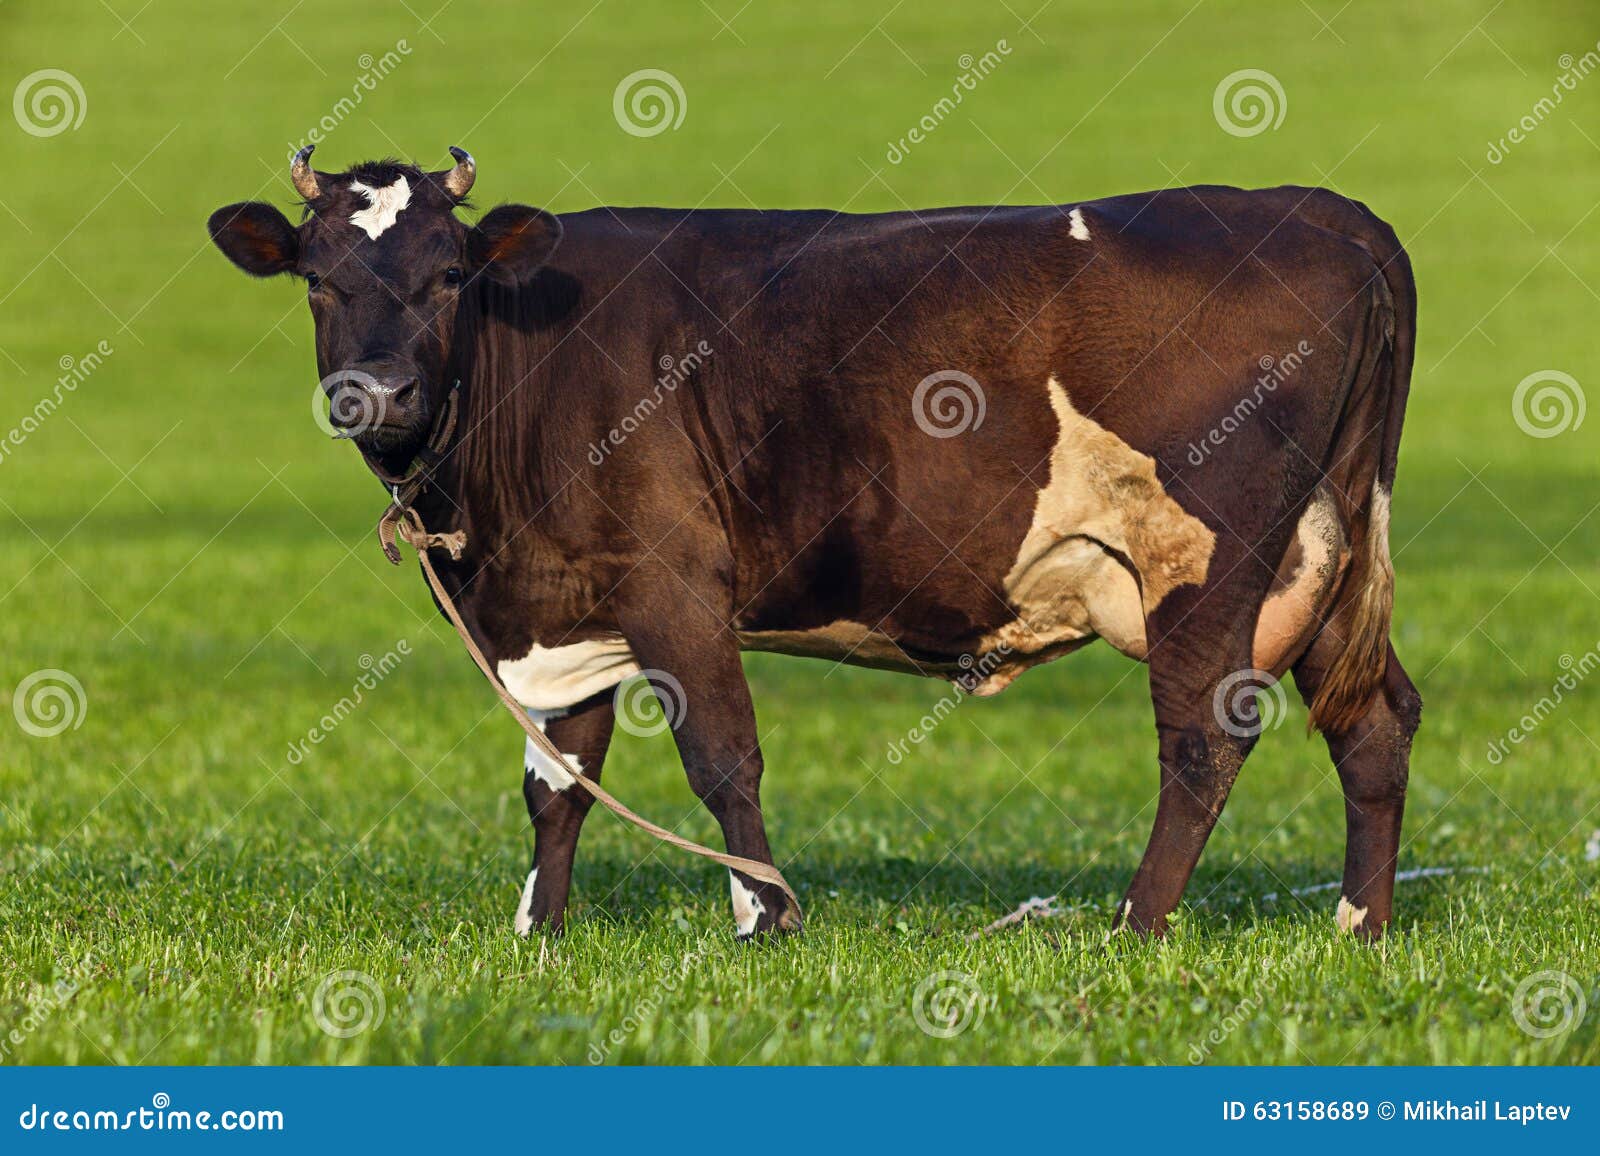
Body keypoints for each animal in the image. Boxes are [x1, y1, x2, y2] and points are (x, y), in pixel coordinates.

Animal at [208, 145, 1420, 942]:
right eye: (317, 278)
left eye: (450, 275)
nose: (376, 393)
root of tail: (1319, 209)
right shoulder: (557, 609)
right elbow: (560, 782)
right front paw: (538, 933)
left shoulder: (675, 582)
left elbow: (721, 757)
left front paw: (767, 918)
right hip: (1323, 557)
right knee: (1372, 721)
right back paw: (1358, 926)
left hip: (1204, 561)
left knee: (1205, 738)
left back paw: (1136, 924)